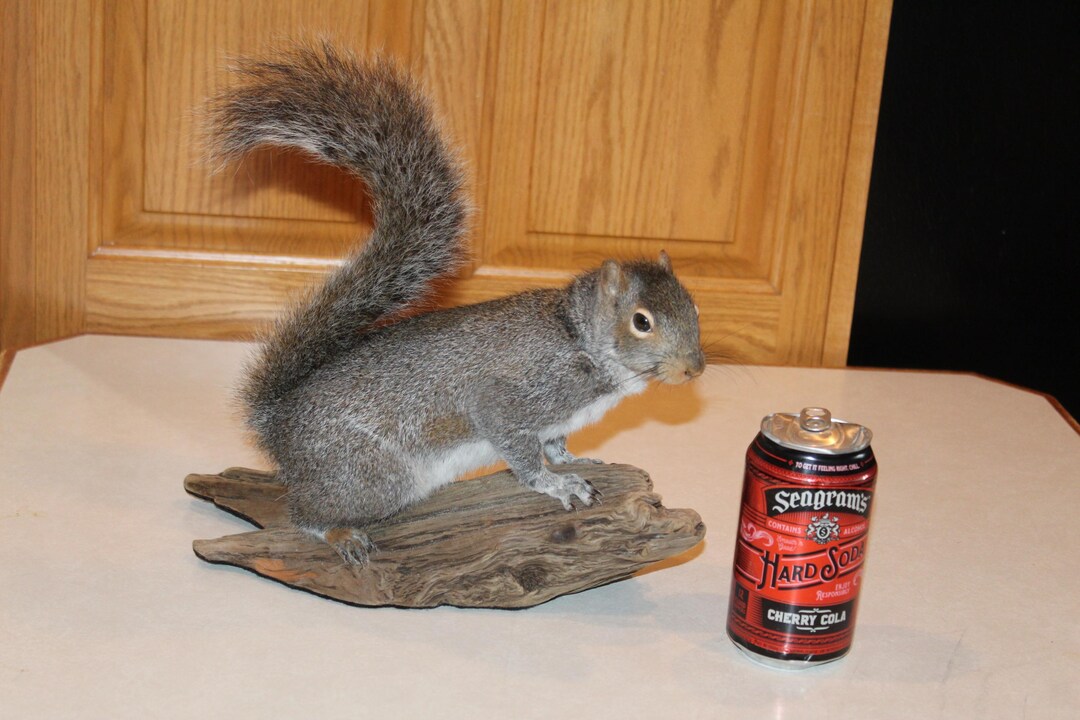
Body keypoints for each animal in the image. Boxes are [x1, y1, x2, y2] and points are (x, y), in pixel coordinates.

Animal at [208, 42, 706, 565]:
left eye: (695, 308)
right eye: (641, 321)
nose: (694, 368)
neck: (579, 339)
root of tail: (277, 425)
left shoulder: (555, 420)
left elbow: (556, 443)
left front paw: (577, 458)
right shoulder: (510, 395)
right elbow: (520, 449)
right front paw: (554, 483)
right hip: (372, 477)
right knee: (305, 515)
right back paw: (339, 533)